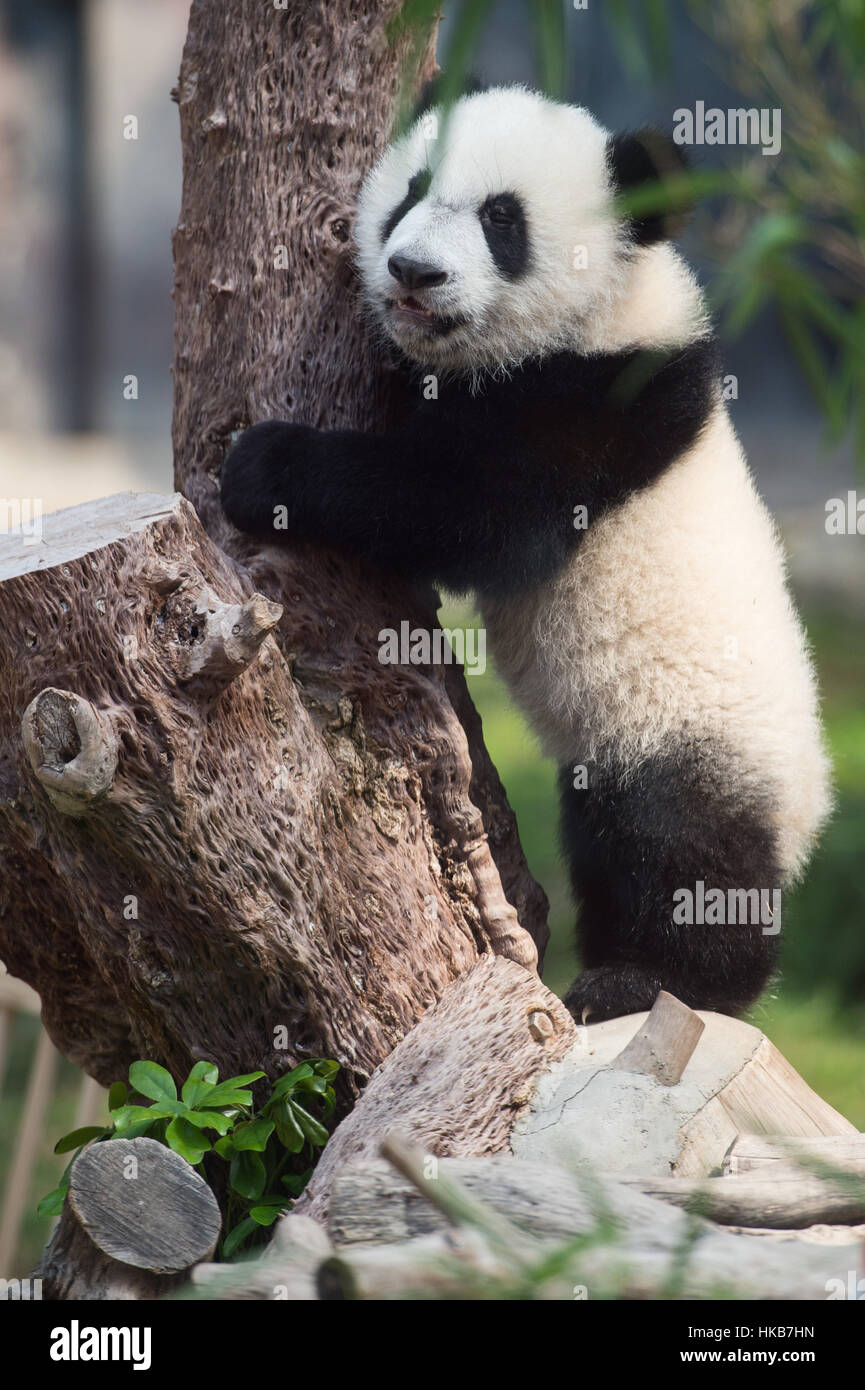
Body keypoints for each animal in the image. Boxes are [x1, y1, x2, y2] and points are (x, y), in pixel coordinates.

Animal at [221, 84, 832, 1023]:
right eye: (412, 190)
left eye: (501, 221)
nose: (413, 272)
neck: (610, 298)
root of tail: (808, 816)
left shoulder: (601, 400)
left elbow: (473, 512)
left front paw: (265, 467)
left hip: (690, 730)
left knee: (676, 847)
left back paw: (647, 981)